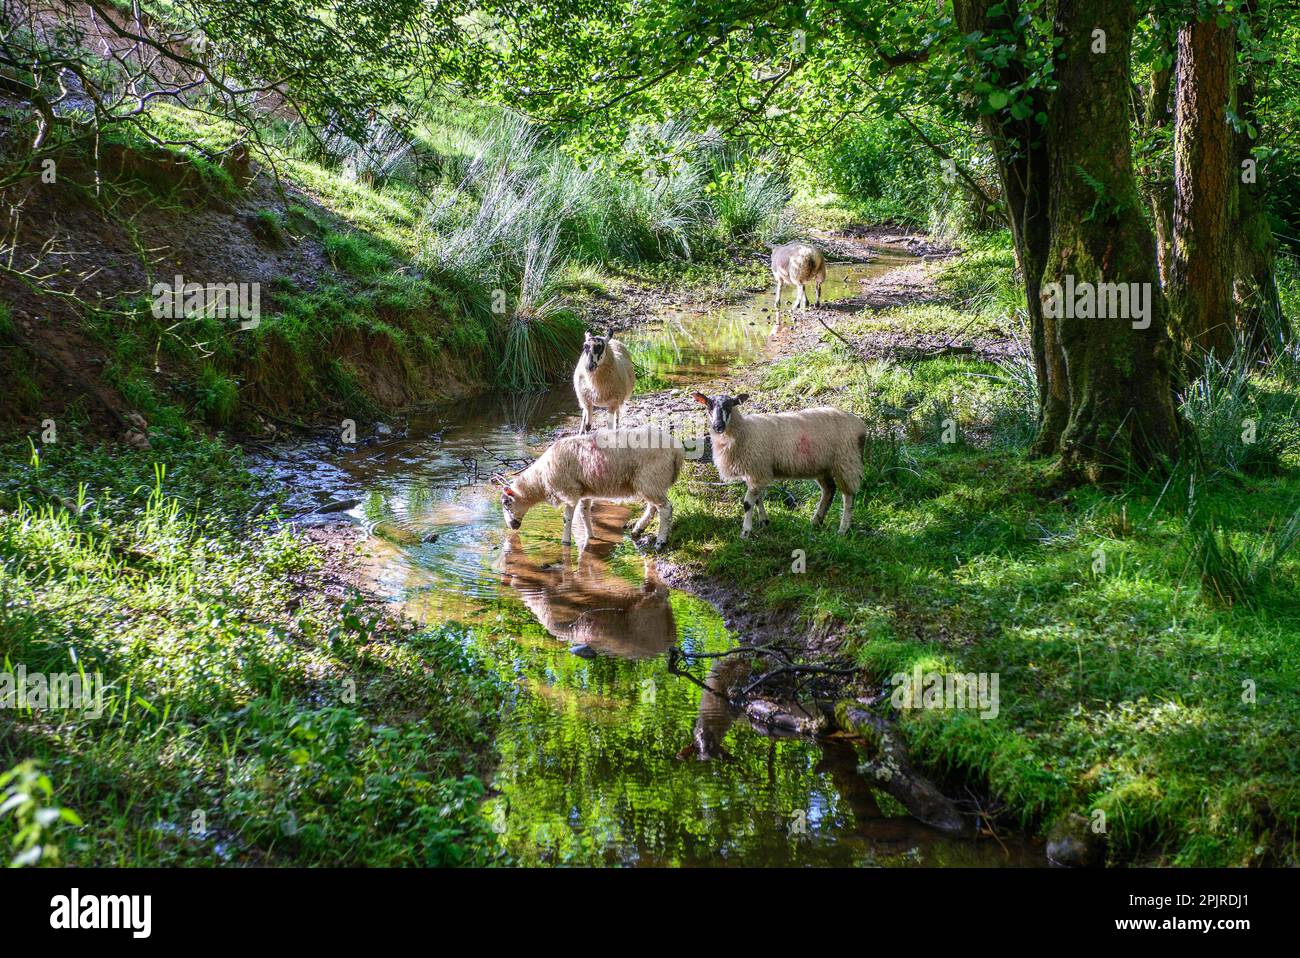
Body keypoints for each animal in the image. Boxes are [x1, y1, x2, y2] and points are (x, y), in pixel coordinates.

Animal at [496, 424, 683, 549]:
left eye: (506, 503)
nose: (511, 527)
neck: (541, 480)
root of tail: (676, 449)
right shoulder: (584, 491)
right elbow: (584, 513)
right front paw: (590, 535)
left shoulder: (569, 491)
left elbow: (567, 518)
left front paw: (565, 541)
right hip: (651, 482)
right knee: (653, 507)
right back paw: (638, 529)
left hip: (651, 478)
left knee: (665, 508)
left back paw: (661, 540)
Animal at [693, 392, 866, 537]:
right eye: (709, 406)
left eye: (730, 405)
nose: (718, 426)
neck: (743, 431)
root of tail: (860, 425)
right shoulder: (757, 472)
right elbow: (758, 498)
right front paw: (764, 522)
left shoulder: (758, 470)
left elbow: (748, 503)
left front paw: (745, 531)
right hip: (823, 466)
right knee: (829, 490)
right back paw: (816, 522)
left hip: (846, 461)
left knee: (848, 496)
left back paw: (843, 529)